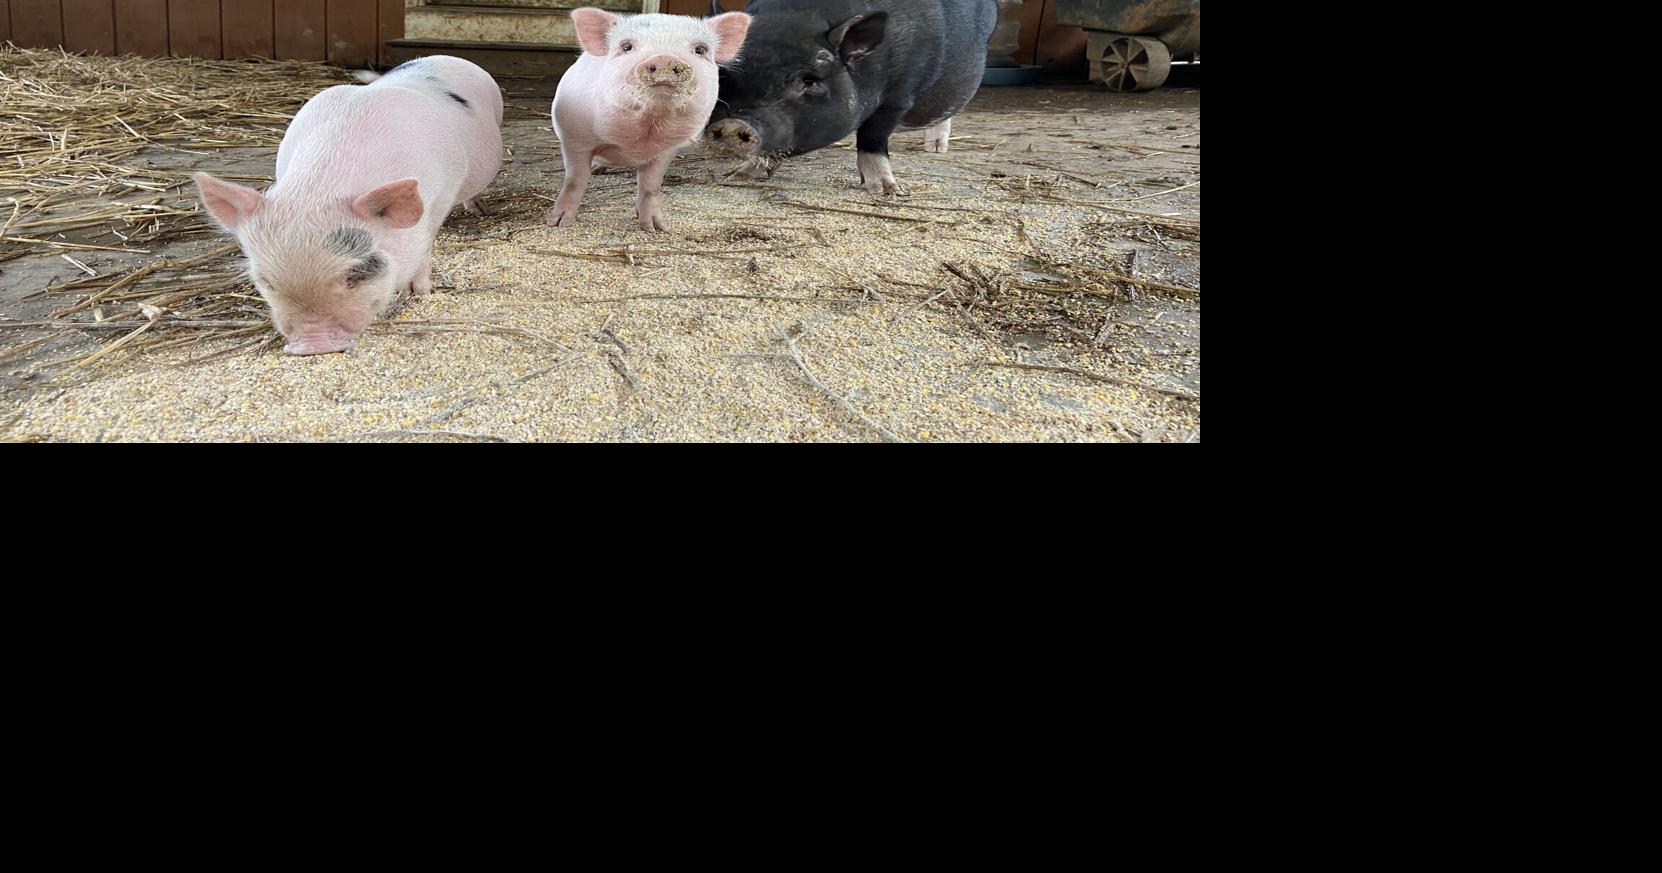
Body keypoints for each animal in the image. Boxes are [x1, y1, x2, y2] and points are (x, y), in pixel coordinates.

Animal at [192, 56, 504, 355]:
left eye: (355, 274)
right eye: (266, 280)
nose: (312, 345)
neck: (320, 187)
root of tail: (445, 57)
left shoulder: (441, 195)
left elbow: (424, 250)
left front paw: (419, 292)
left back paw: (478, 209)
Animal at [546, 7, 752, 232]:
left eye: (700, 49)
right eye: (626, 46)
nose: (665, 58)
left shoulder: (666, 150)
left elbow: (651, 186)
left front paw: (656, 228)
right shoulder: (575, 139)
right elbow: (575, 179)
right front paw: (558, 223)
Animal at [704, 0, 998, 196]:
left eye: (810, 81)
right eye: (725, 76)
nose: (732, 124)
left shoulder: (898, 97)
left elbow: (872, 138)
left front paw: (887, 191)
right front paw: (738, 176)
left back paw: (936, 149)